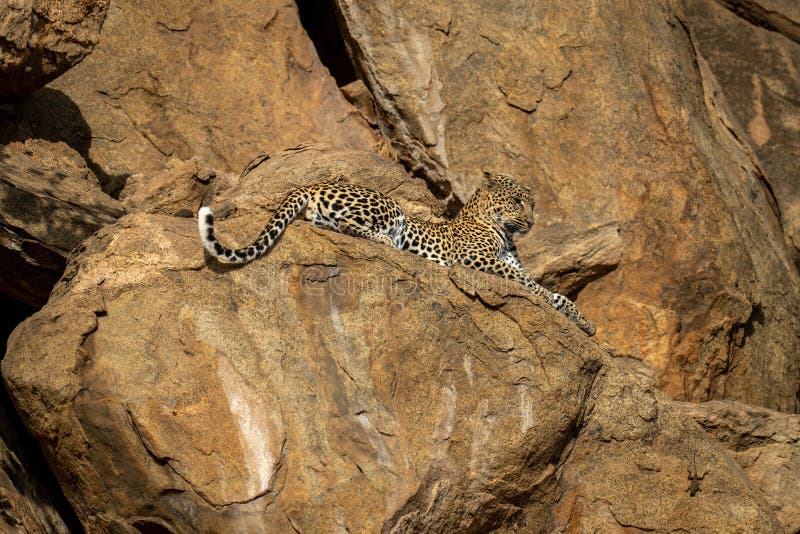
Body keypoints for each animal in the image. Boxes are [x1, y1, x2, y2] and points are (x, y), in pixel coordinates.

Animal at [198, 172, 595, 335]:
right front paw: (549, 301)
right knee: (348, 223)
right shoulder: (473, 259)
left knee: (324, 220)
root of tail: (310, 184)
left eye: (532, 204)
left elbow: (555, 294)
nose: (531, 221)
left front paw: (585, 322)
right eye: (516, 201)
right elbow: (533, 286)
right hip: (390, 206)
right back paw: (388, 241)